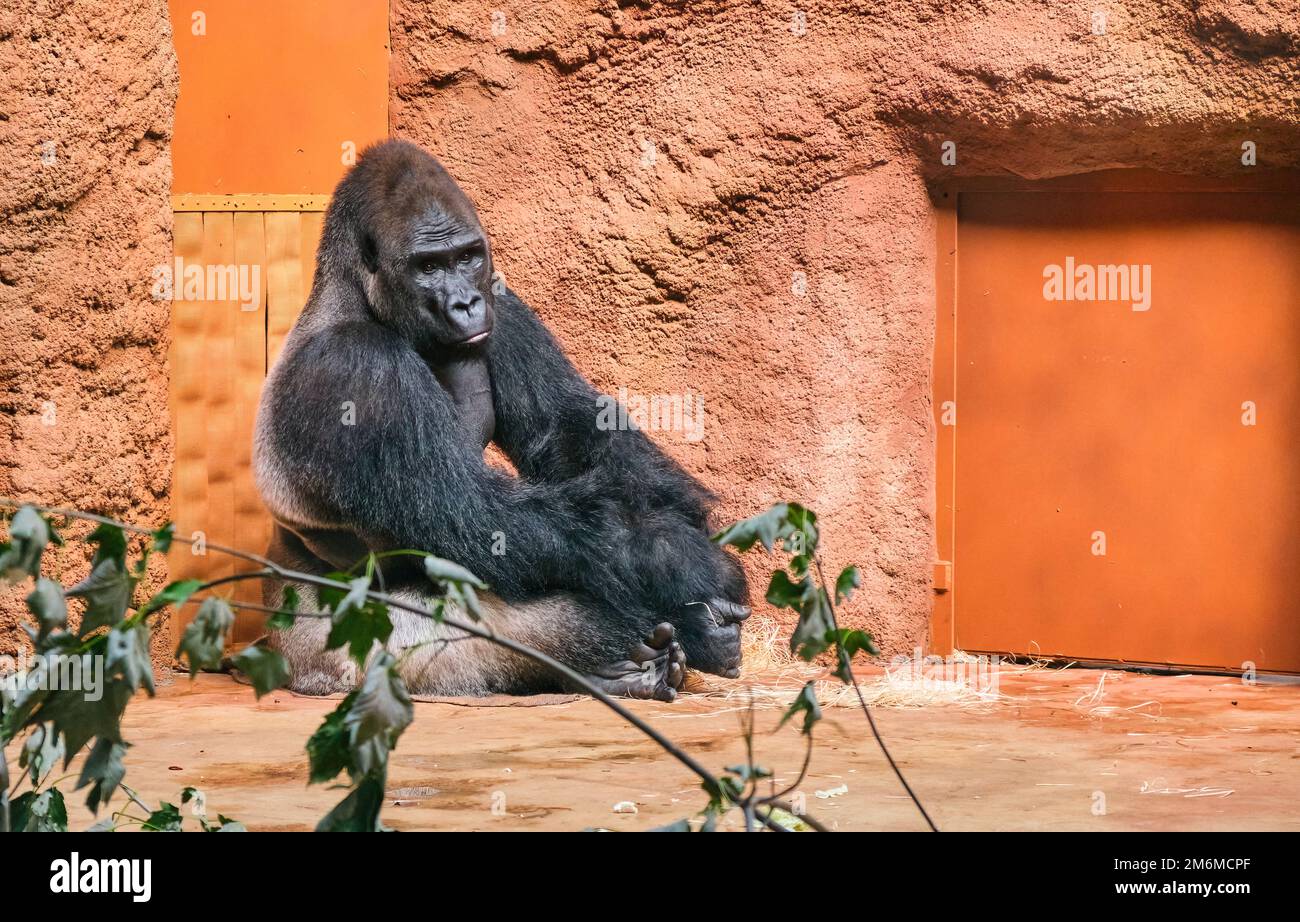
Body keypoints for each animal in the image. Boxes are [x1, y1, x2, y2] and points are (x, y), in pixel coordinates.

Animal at [253, 139, 750, 702]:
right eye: (427, 266)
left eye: (467, 257)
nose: (465, 303)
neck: (357, 300)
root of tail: (282, 655)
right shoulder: (354, 370)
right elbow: (472, 513)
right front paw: (673, 557)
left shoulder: (503, 304)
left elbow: (569, 430)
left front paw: (683, 527)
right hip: (333, 660)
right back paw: (627, 662)